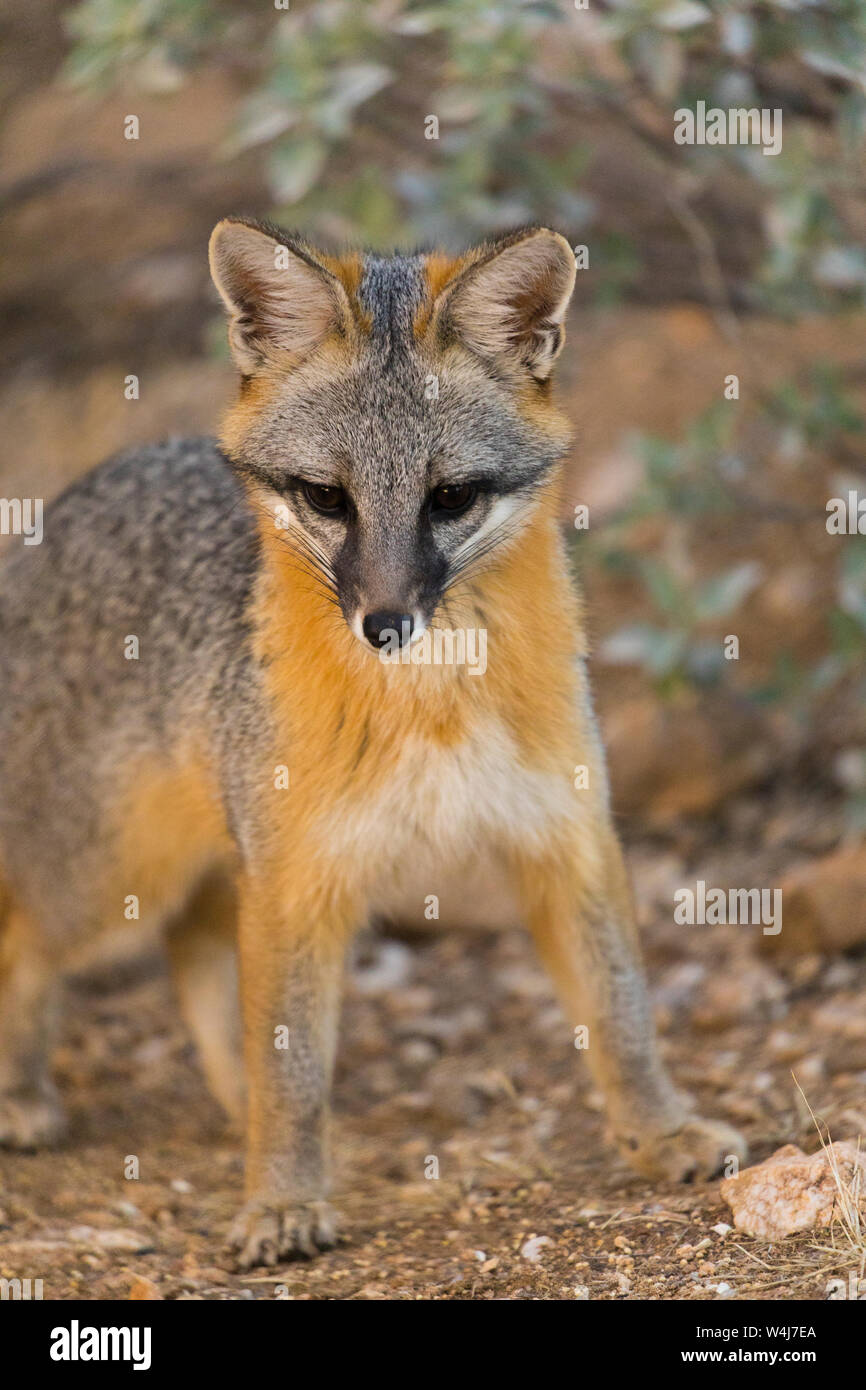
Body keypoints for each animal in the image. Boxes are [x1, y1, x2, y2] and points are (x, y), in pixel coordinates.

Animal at [0, 220, 746, 1267]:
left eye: (451, 497)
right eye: (326, 496)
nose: (385, 623)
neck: (432, 704)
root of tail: (70, 500)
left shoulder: (567, 840)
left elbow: (622, 1012)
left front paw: (661, 1130)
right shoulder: (298, 875)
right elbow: (295, 1068)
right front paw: (282, 1201)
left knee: (193, 951)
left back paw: (235, 1107)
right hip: (108, 883)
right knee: (28, 941)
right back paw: (25, 1094)